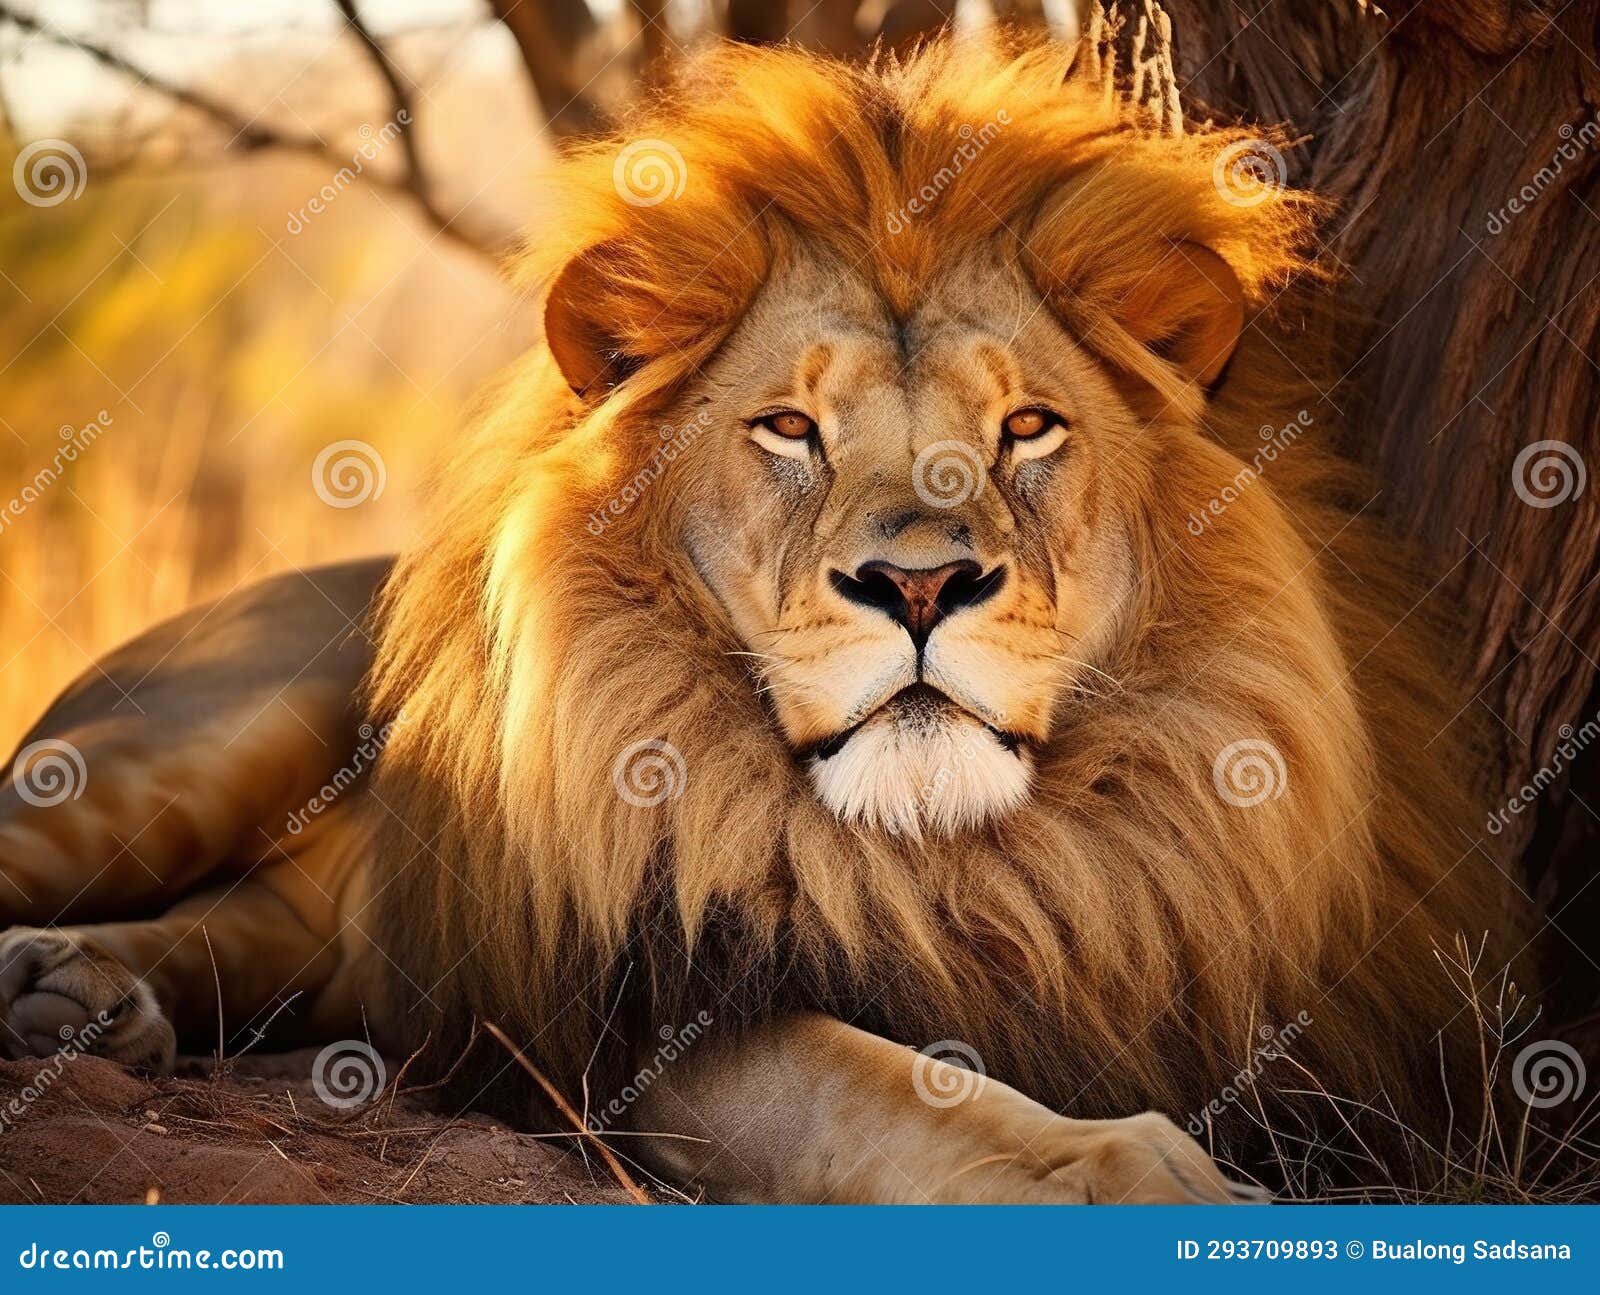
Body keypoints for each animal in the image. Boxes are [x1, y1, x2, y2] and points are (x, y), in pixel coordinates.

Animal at [0, 34, 1523, 1203]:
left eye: (1028, 427)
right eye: (791, 429)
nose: (920, 584)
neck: (961, 862)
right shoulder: (656, 1024)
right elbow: (924, 1102)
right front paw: (1150, 1182)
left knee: (256, 921)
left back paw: (86, 997)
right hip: (196, 741)